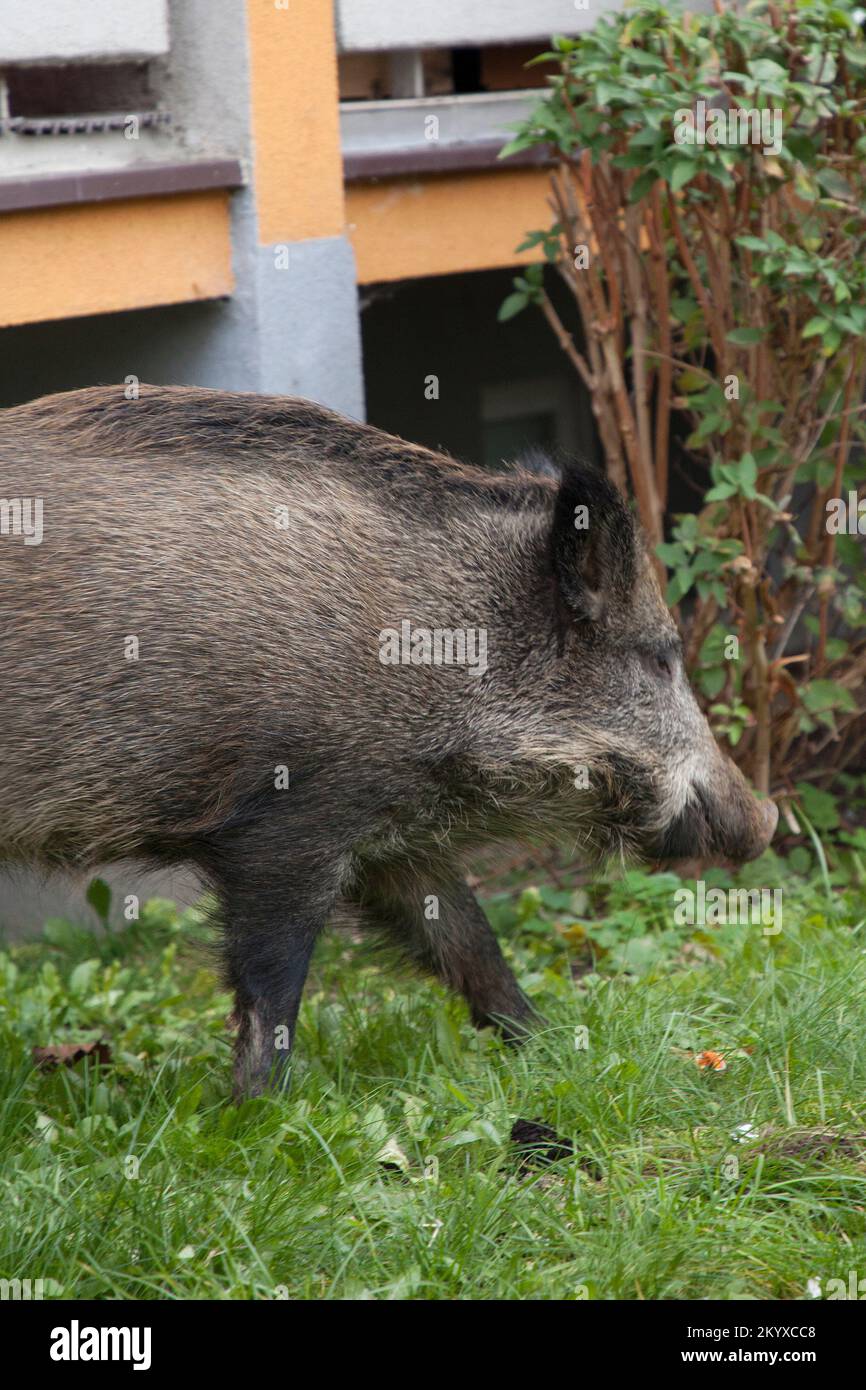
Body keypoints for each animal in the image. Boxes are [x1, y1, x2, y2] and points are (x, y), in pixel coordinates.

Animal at [0, 385, 777, 1094]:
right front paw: (256, 1115)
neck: (446, 657)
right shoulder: (290, 822)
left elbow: (470, 941)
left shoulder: (399, 836)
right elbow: (272, 986)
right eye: (660, 658)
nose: (766, 820)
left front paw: (550, 1050)